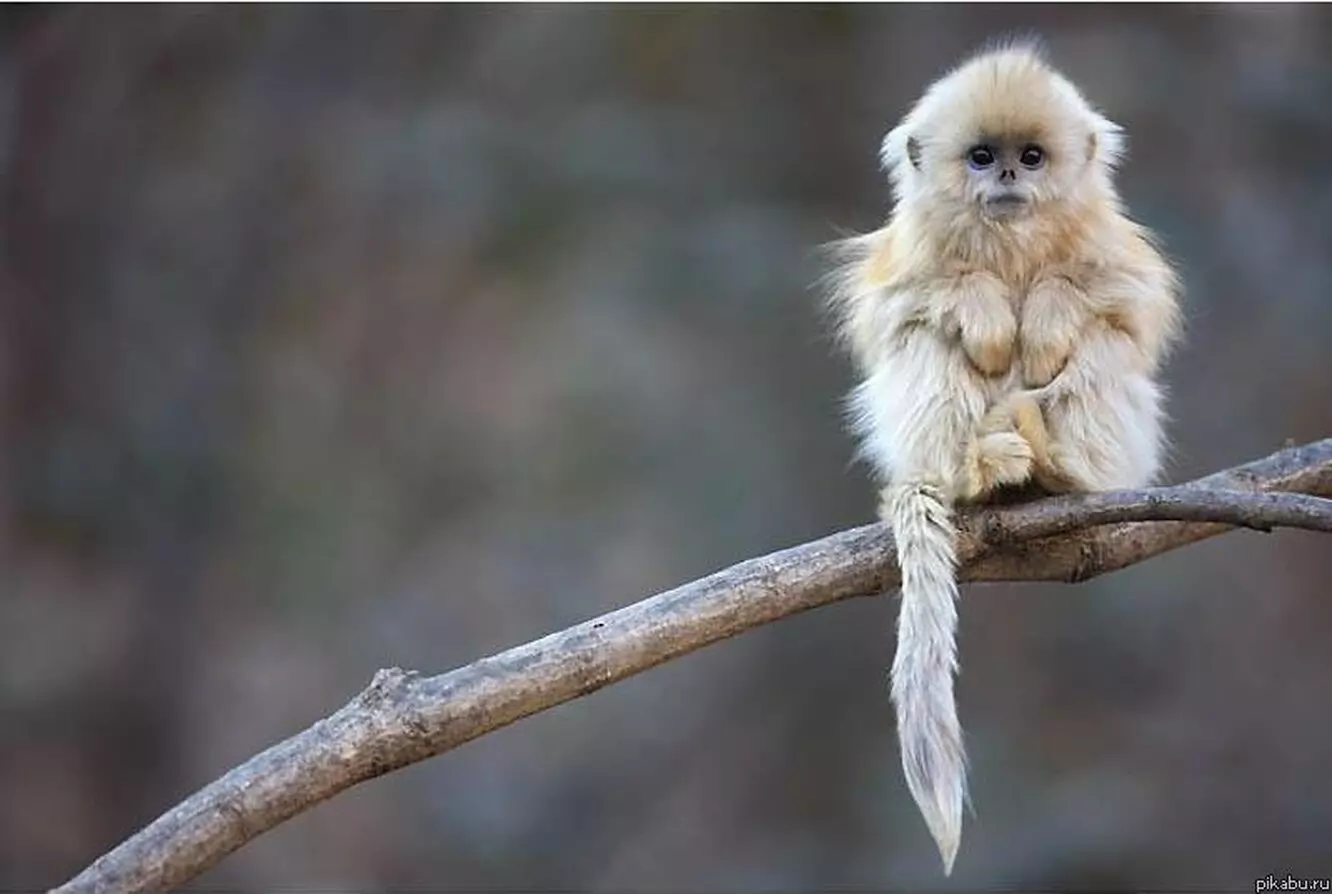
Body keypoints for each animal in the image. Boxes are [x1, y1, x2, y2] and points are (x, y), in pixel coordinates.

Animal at [825, 41, 1182, 874]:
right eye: (982, 157)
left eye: (1032, 156)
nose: (1010, 178)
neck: (1011, 242)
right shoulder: (906, 259)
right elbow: (899, 311)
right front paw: (986, 308)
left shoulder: (1113, 249)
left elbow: (1131, 306)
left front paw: (1046, 314)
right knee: (925, 341)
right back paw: (978, 471)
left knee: (1105, 344)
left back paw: (1058, 469)